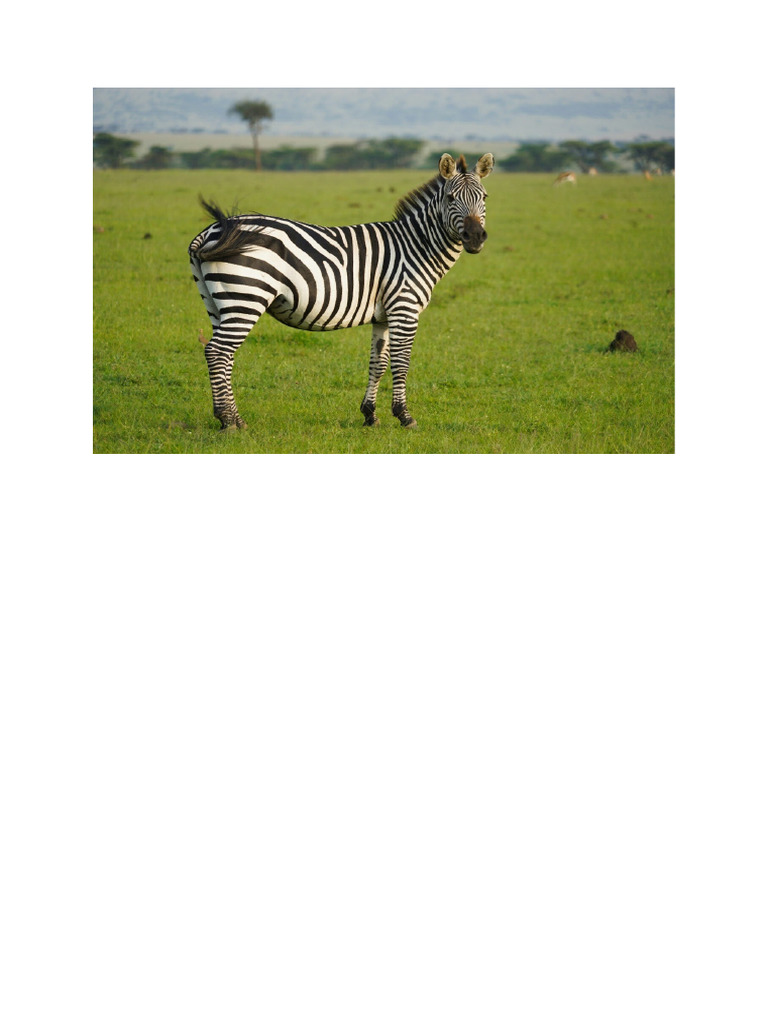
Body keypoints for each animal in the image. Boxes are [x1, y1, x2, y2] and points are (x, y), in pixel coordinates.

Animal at [188, 152, 494, 430]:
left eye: (485, 197)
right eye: (451, 198)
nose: (475, 238)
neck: (415, 246)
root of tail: (212, 230)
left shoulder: (383, 316)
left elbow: (378, 363)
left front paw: (370, 415)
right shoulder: (404, 309)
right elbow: (401, 362)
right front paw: (405, 416)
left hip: (218, 304)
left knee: (222, 355)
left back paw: (233, 418)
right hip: (246, 298)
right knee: (217, 352)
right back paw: (228, 420)